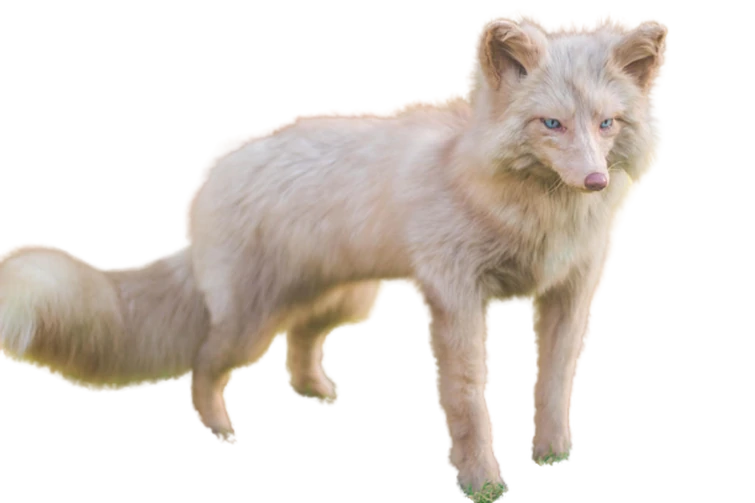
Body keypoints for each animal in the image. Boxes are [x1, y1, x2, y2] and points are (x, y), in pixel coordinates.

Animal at [0, 10, 668, 492]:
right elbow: (472, 404)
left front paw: (554, 461)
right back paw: (221, 429)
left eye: (606, 124)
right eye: (551, 125)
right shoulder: (458, 299)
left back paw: (318, 395)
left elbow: (553, 393)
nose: (595, 181)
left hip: (348, 303)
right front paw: (481, 482)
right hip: (251, 324)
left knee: (300, 343)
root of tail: (214, 171)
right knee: (202, 364)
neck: (533, 216)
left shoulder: (569, 294)